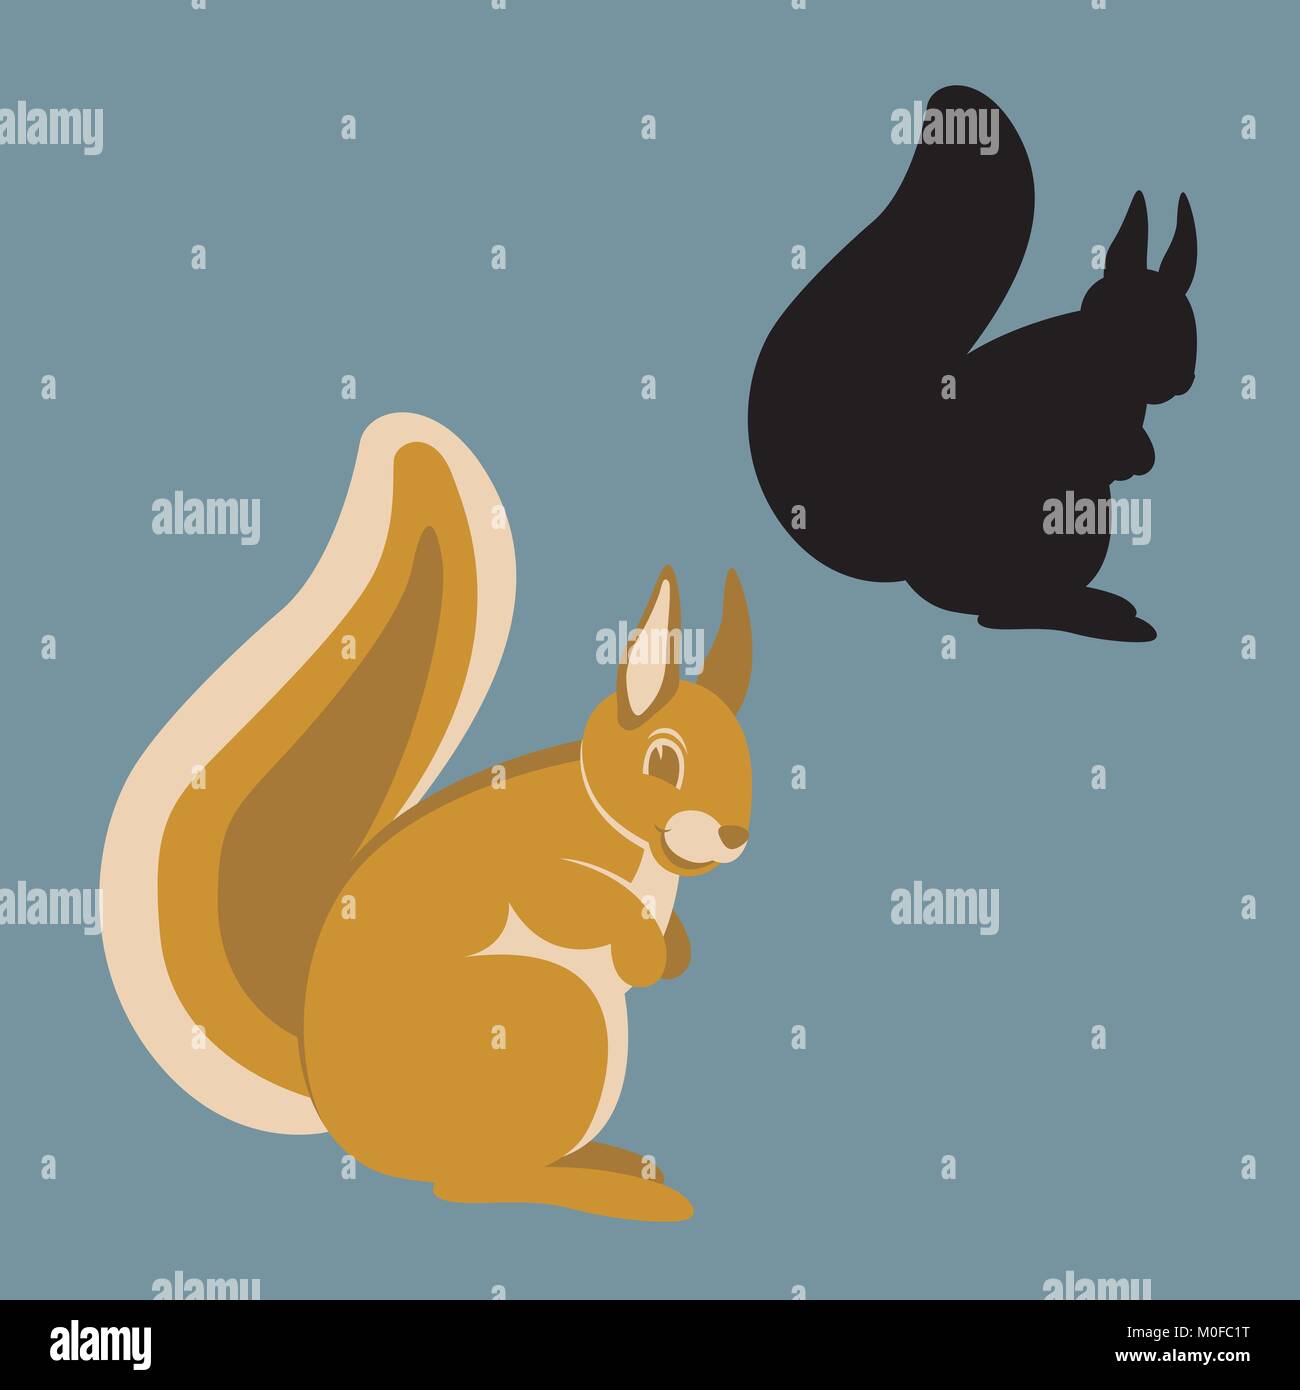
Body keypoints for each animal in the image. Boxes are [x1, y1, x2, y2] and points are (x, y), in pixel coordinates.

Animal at [100, 413, 753, 1223]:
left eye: (747, 756)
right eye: (664, 762)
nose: (734, 834)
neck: (637, 844)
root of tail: (342, 1114)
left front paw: (676, 948)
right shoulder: (539, 859)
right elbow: (564, 898)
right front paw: (645, 952)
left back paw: (618, 1167)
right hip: (548, 1017)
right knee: (471, 1184)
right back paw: (602, 1189)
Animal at [747, 85, 1197, 642]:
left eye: (1187, 326)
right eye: (1105, 306)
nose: (1175, 381)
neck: (1103, 371)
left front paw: (1141, 452)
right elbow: (1090, 445)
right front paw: (1134, 455)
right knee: (999, 613)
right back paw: (1095, 616)